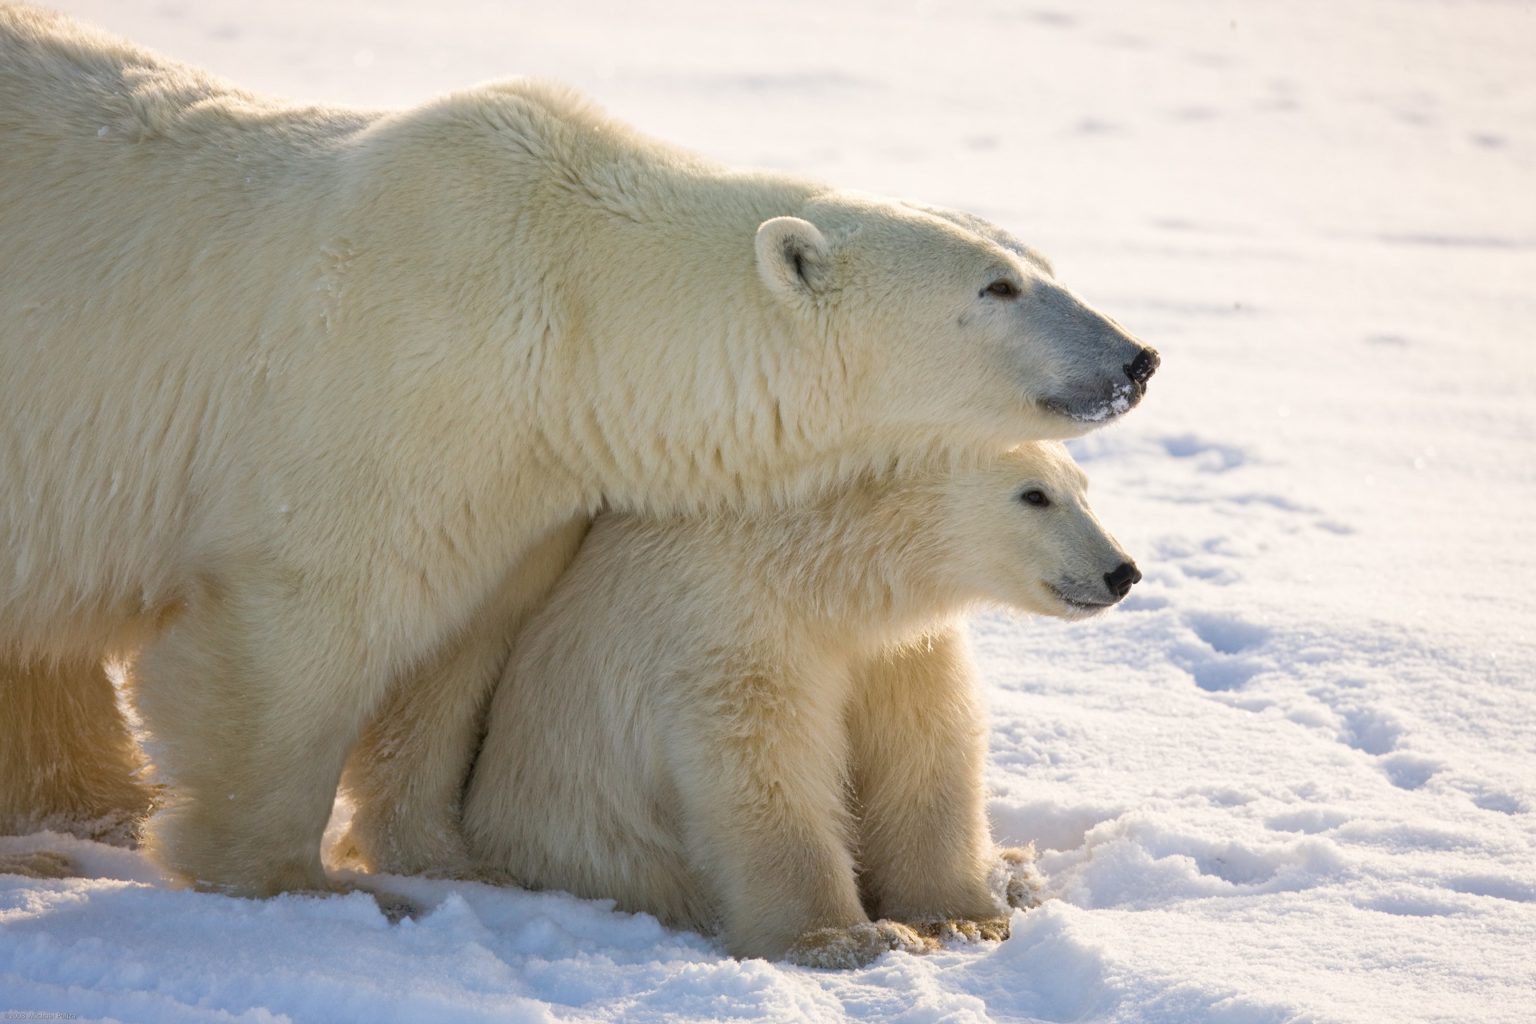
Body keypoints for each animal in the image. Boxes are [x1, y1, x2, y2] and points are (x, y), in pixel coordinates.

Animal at [0, 6, 1156, 898]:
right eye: (998, 286)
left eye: (1042, 264)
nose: (1137, 359)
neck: (567, 303)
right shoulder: (383, 386)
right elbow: (306, 623)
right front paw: (289, 878)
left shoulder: (518, 478)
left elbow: (457, 652)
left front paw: (447, 860)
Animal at [459, 441, 1139, 967]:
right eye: (1034, 495)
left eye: (1083, 488)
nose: (1122, 571)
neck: (820, 572)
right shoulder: (733, 623)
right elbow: (765, 767)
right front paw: (849, 939)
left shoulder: (894, 649)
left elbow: (926, 744)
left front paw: (963, 918)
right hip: (598, 852)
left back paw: (1015, 872)